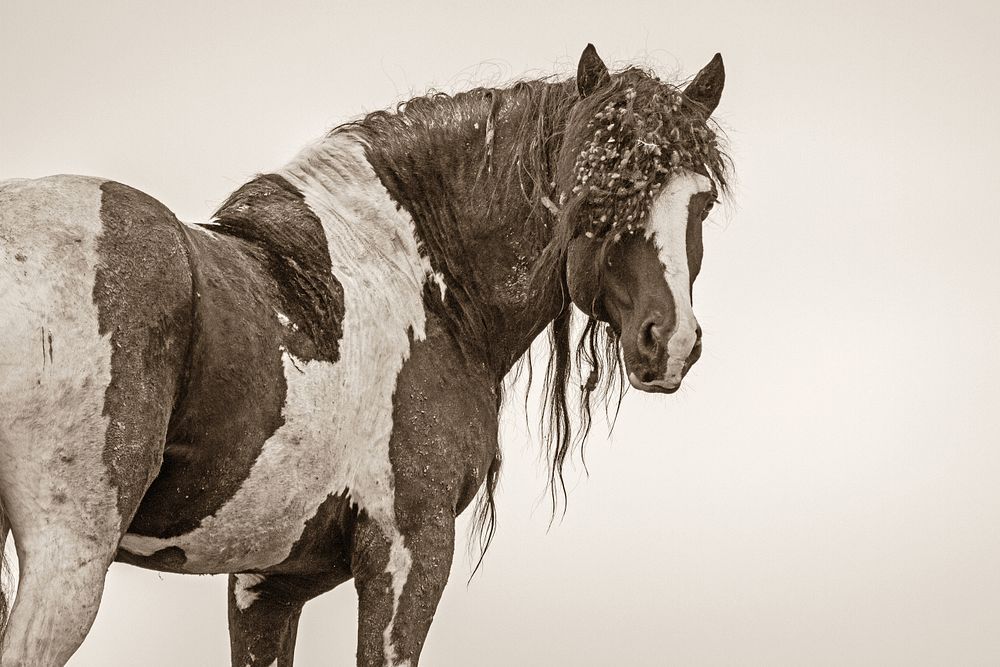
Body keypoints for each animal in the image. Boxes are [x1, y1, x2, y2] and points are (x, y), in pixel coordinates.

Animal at [0, 44, 730, 666]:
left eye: (703, 199)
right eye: (600, 187)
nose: (670, 340)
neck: (422, 284)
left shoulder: (267, 581)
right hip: (68, 556)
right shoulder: (409, 551)